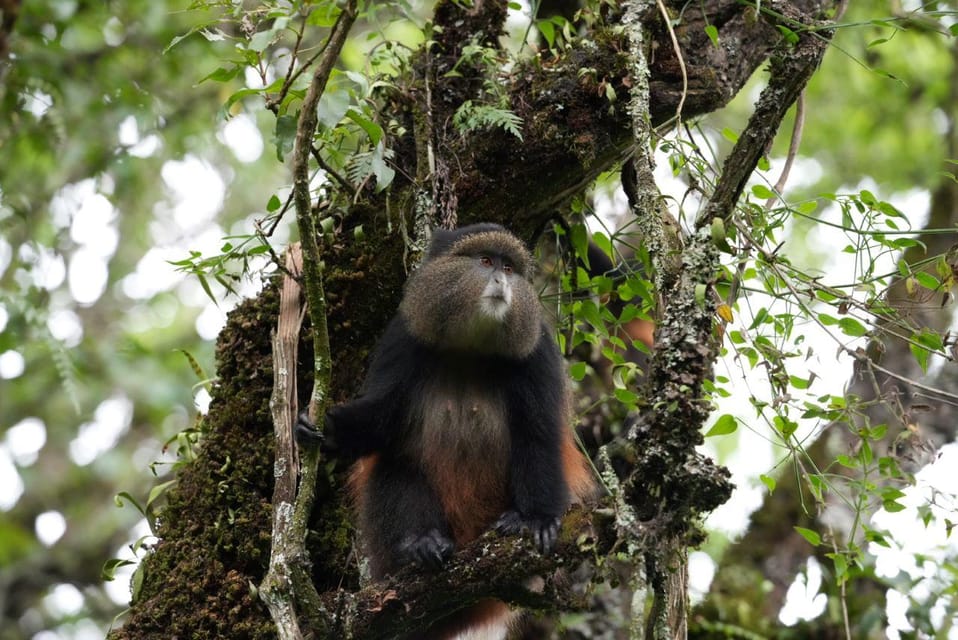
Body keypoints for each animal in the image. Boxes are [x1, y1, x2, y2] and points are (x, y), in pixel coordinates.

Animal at [297, 222, 596, 639]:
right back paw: (421, 544)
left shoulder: (538, 351)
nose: (502, 280)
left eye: (509, 266)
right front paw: (330, 429)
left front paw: (535, 519)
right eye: (485, 261)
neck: (470, 347)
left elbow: (539, 434)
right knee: (395, 465)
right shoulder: (402, 338)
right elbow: (383, 418)